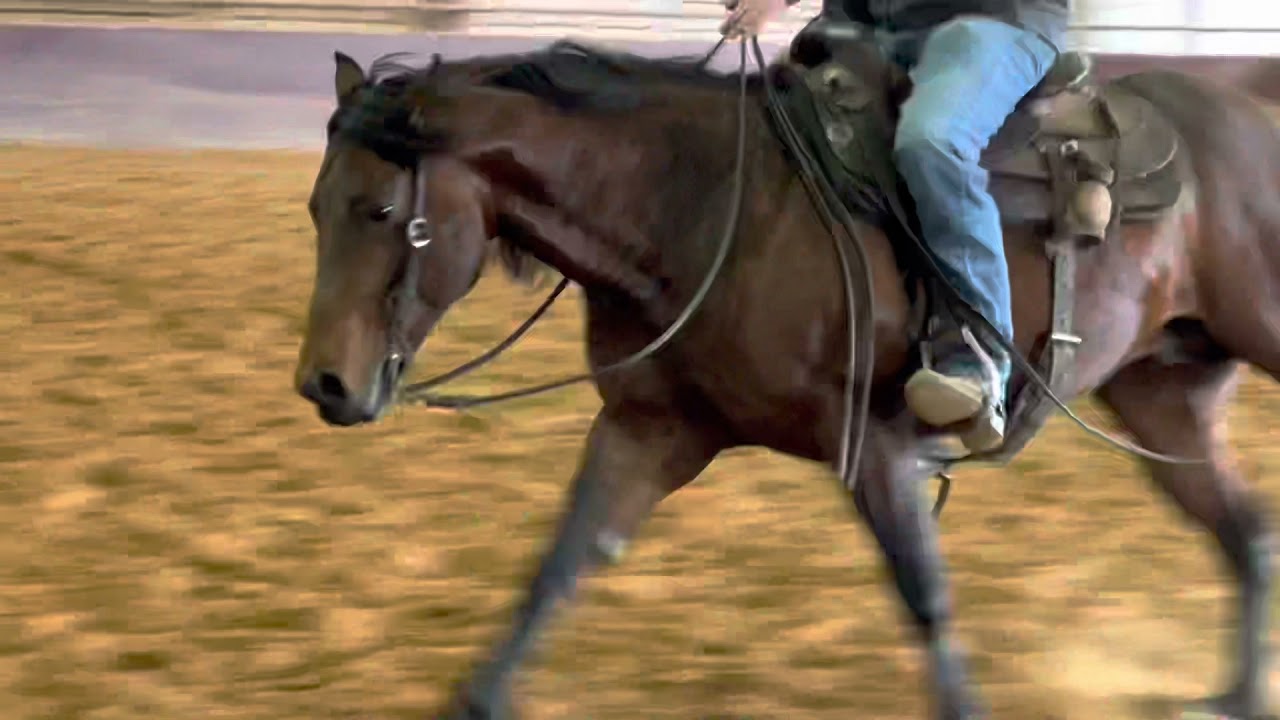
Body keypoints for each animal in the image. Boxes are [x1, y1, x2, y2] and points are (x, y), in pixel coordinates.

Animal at [292, 29, 1280, 719]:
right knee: (1246, 533)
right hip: (1164, 393)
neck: (702, 208)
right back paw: (1231, 698)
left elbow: (926, 600)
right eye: (315, 208)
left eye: (380, 209)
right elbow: (560, 566)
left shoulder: (880, 447)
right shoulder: (650, 427)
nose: (323, 385)